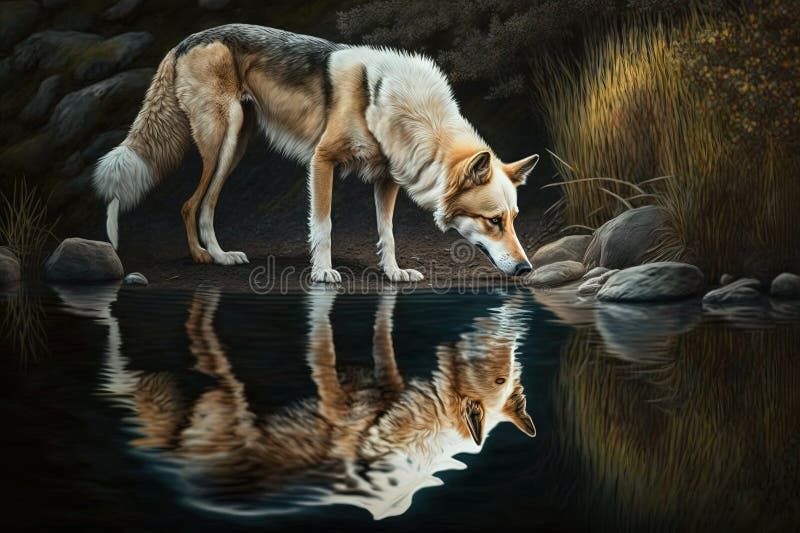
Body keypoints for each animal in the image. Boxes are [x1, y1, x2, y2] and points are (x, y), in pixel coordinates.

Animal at [93, 24, 539, 282]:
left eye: (515, 220)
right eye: (493, 221)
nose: (526, 269)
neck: (399, 108)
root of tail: (187, 40)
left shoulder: (386, 181)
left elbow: (388, 233)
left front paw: (394, 273)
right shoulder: (321, 163)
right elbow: (323, 225)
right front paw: (323, 273)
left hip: (236, 147)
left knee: (203, 205)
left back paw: (218, 255)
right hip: (222, 140)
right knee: (191, 204)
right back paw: (210, 259)